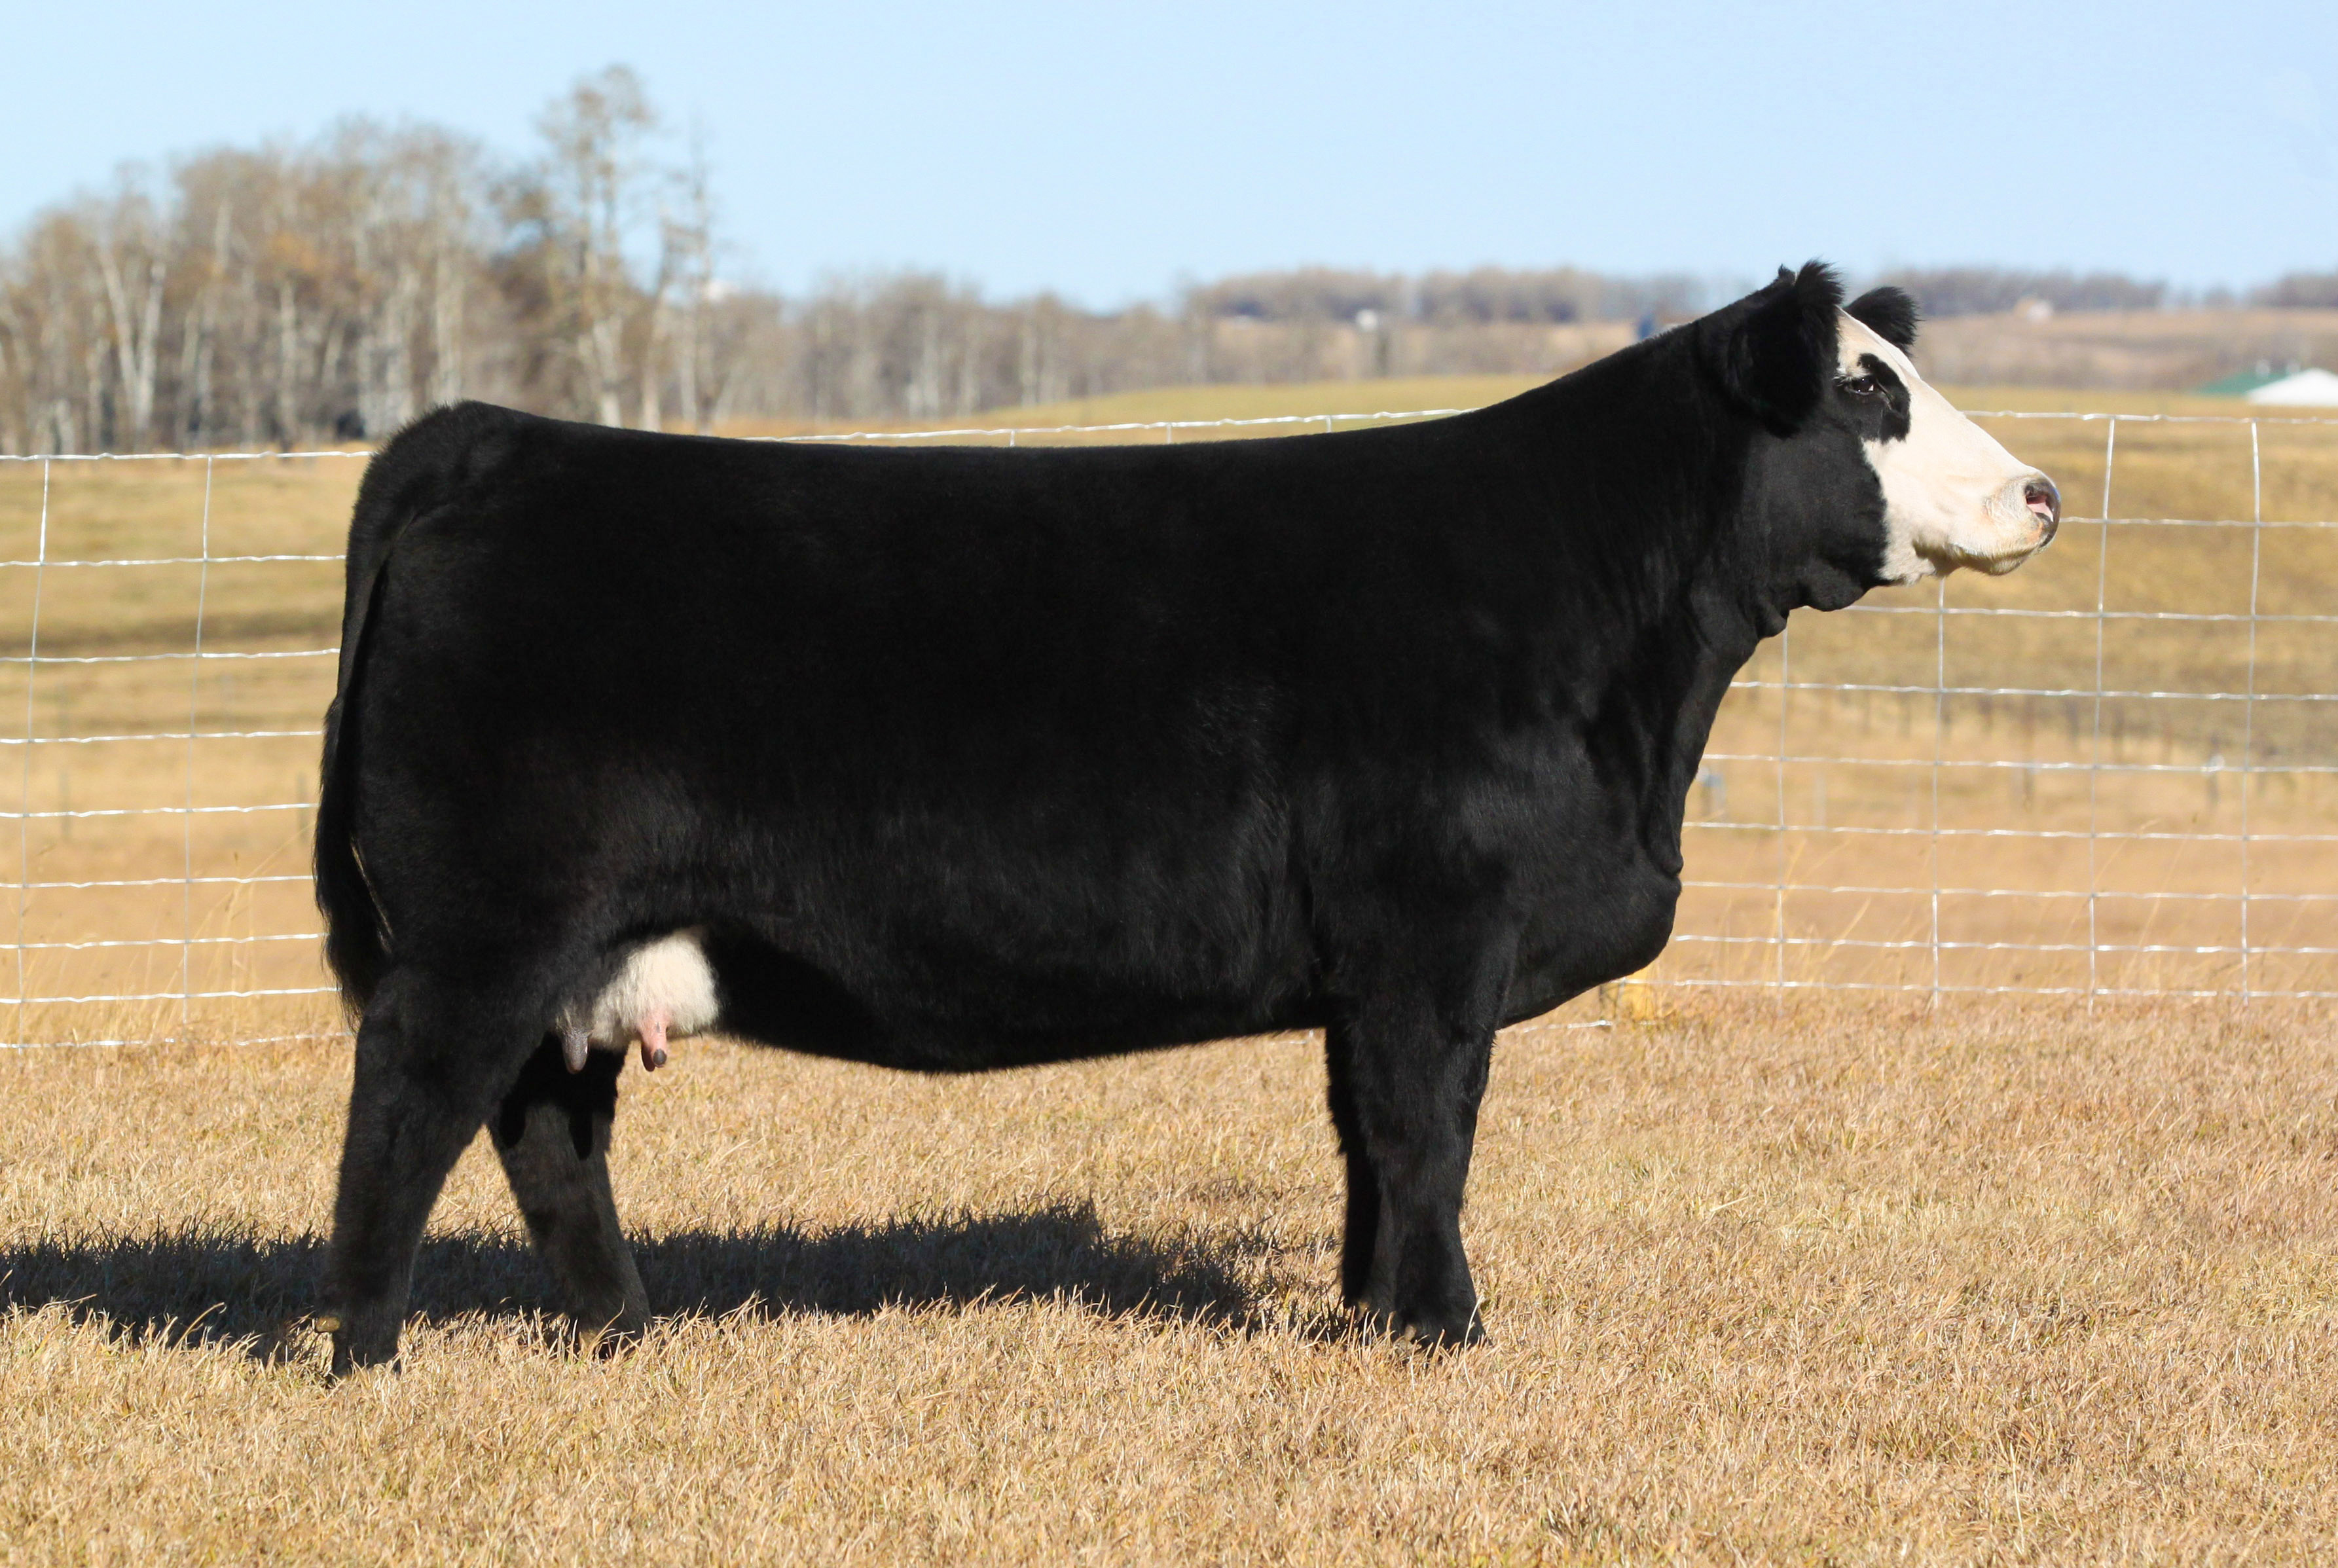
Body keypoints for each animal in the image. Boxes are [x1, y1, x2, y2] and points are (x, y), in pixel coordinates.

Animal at [312, 262, 2058, 1373]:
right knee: (407, 1113)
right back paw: (367, 1355)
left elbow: (1367, 1142)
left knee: (549, 1134)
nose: (2039, 493)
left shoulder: (1372, 967)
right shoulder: (1432, 936)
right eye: (1869, 392)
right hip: (485, 931)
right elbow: (1428, 1132)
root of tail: (490, 436)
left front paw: (1372, 1315)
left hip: (576, 948)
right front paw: (1448, 1330)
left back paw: (624, 1332)